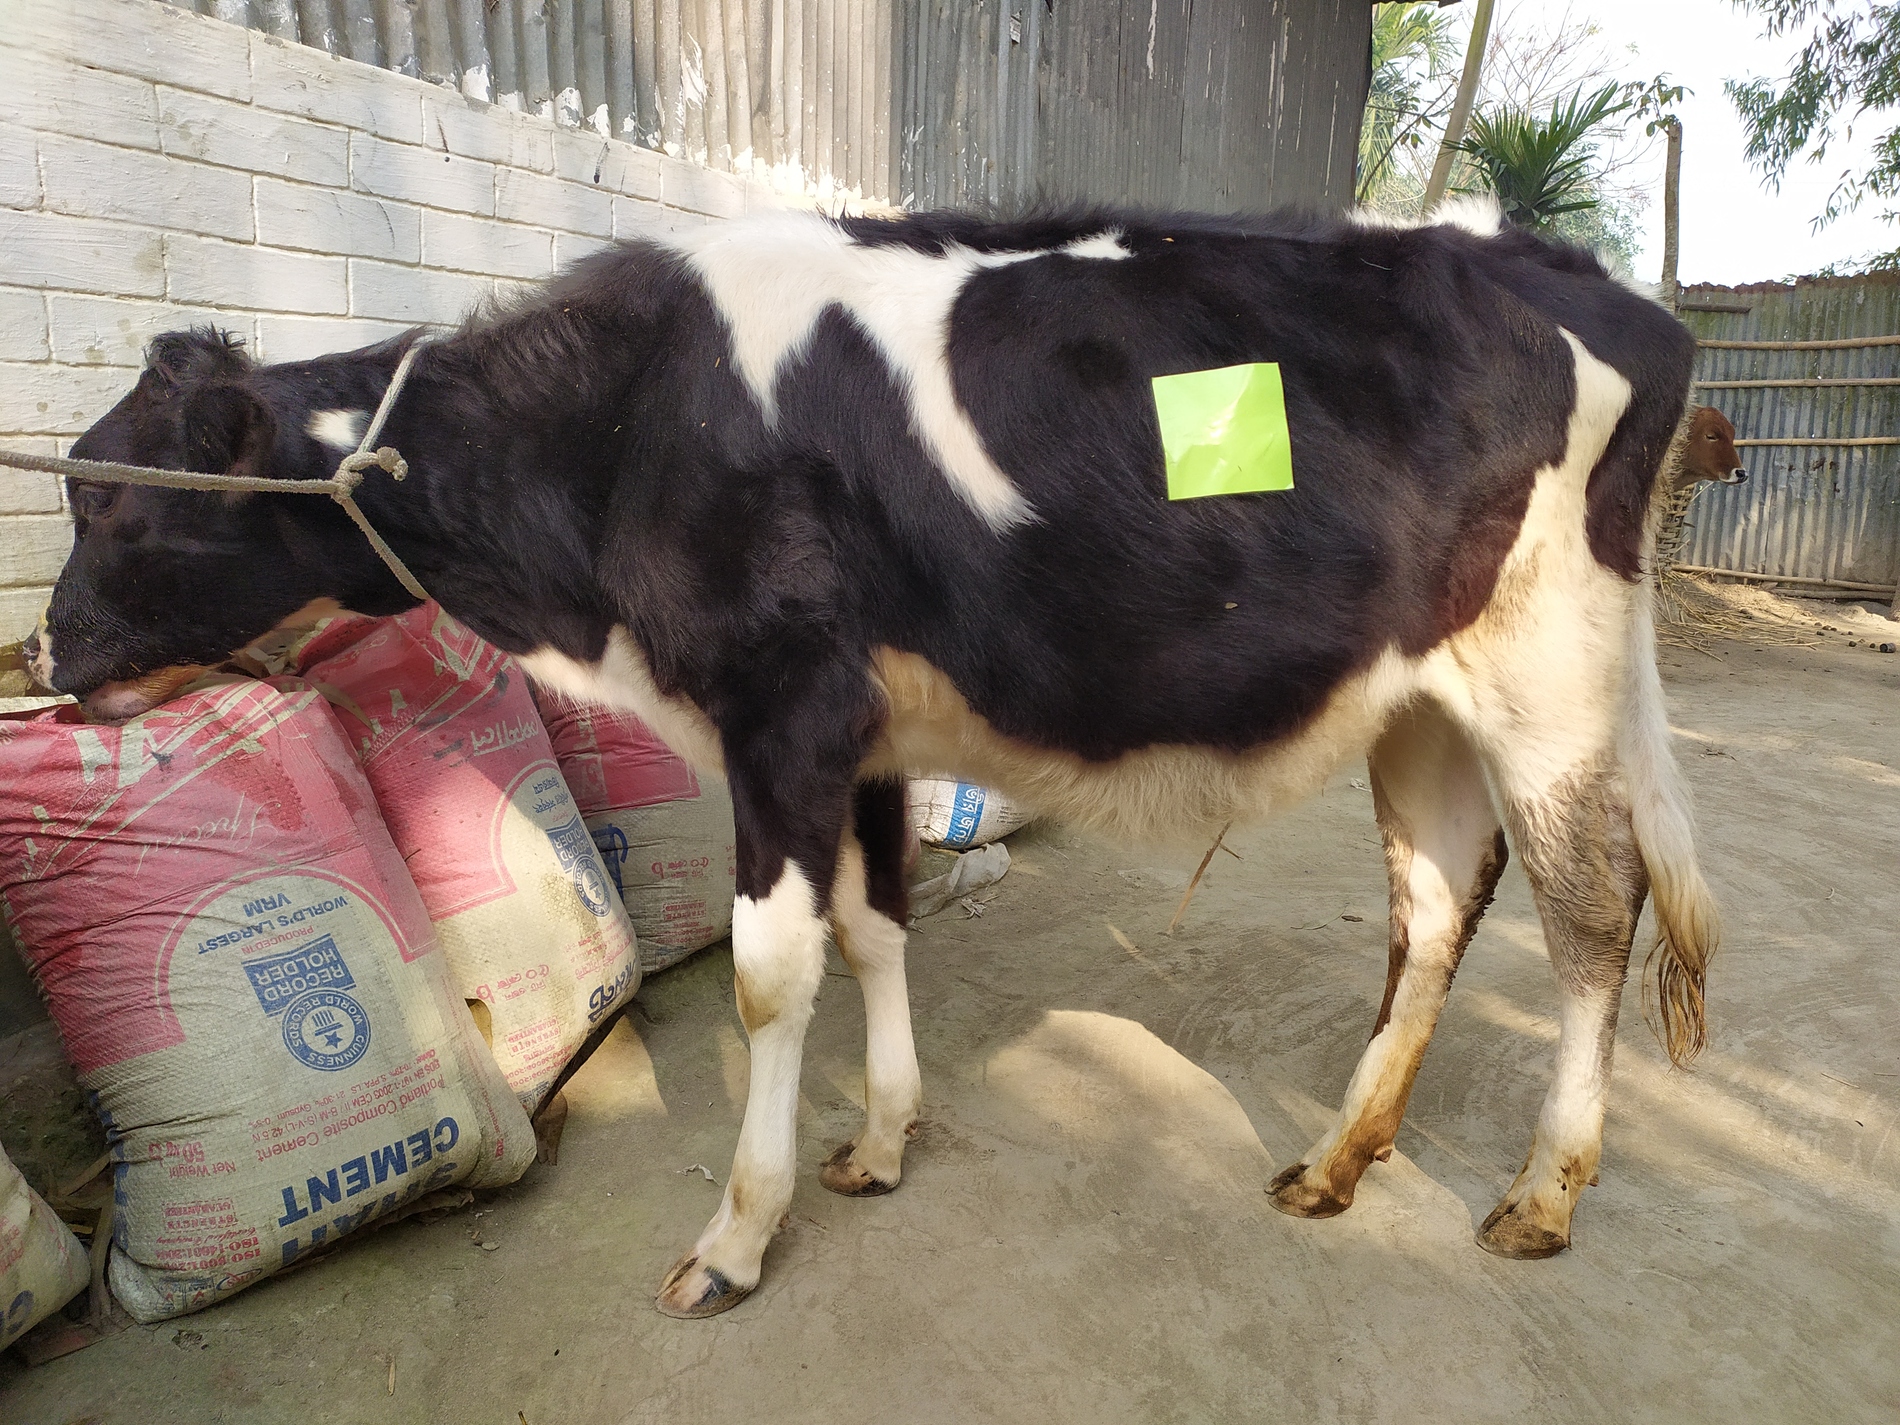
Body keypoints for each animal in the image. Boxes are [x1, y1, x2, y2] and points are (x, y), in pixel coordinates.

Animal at [23, 199, 1719, 1318]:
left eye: (105, 500)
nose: (47, 660)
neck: (621, 438)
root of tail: (1600, 285)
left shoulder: (780, 706)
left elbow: (777, 974)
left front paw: (737, 1234)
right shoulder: (869, 730)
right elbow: (877, 921)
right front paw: (885, 1137)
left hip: (1551, 669)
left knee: (1590, 912)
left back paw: (1539, 1194)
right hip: (1424, 695)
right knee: (1437, 902)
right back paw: (1336, 1159)